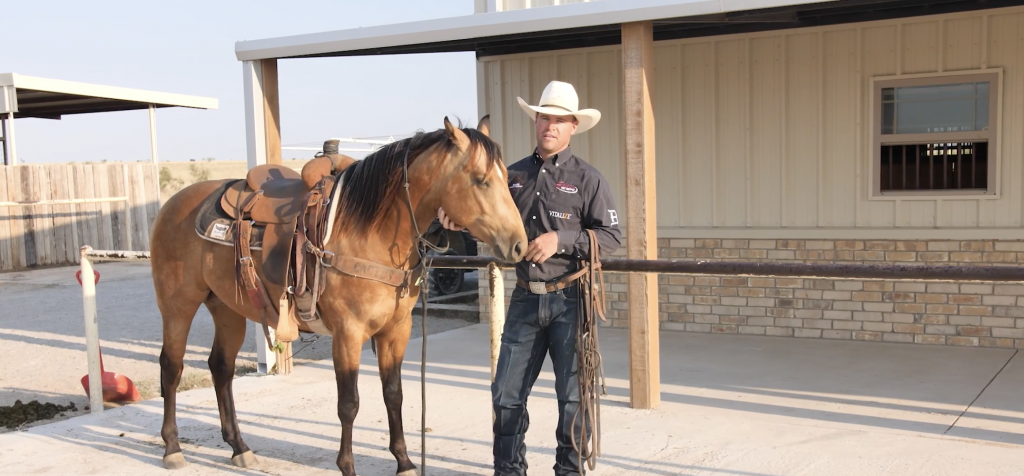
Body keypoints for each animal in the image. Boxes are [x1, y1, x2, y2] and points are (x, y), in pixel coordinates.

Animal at [149, 116, 527, 475]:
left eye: (506, 176)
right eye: (480, 179)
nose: (519, 245)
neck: (369, 230)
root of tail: (172, 204)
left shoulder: (396, 330)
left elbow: (394, 394)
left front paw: (404, 461)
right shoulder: (348, 334)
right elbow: (349, 403)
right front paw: (347, 466)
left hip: (228, 308)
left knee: (221, 368)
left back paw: (239, 447)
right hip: (177, 306)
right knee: (171, 367)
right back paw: (172, 448)